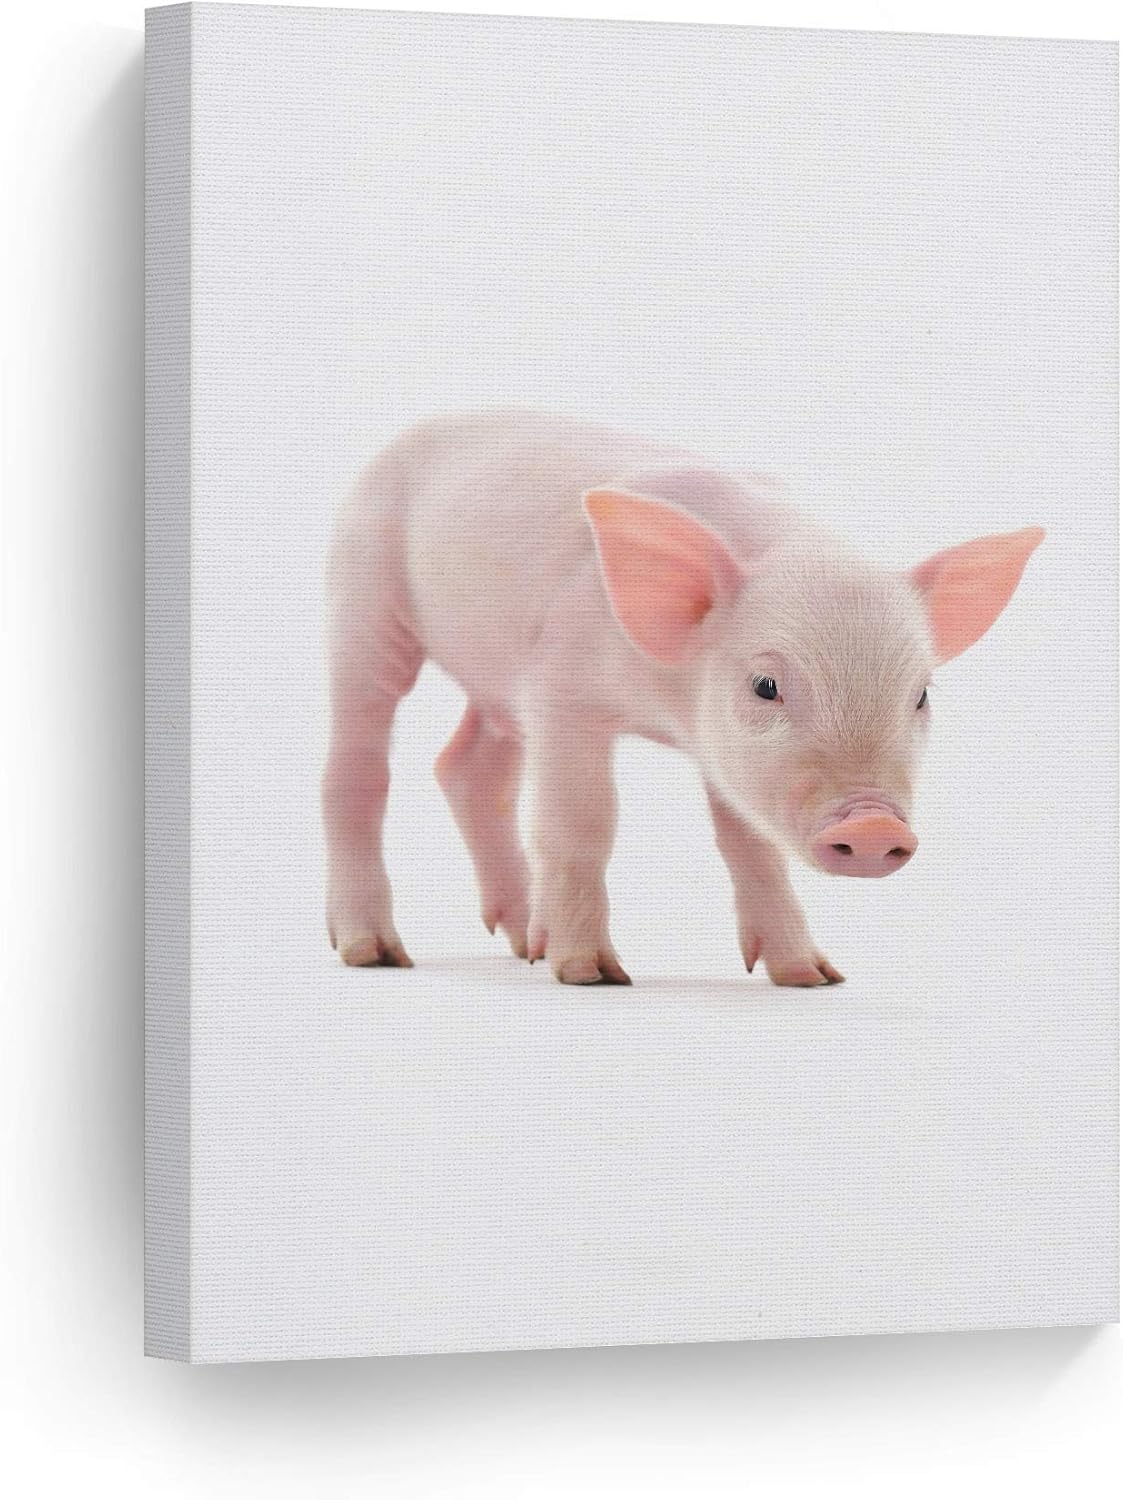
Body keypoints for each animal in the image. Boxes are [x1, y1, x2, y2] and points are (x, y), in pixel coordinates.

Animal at [323, 409, 1043, 986]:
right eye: (765, 685)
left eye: (920, 694)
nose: (872, 825)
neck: (664, 707)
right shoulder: (561, 688)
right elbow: (579, 821)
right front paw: (592, 973)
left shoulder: (710, 747)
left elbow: (747, 843)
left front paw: (813, 977)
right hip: (364, 599)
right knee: (357, 766)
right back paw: (377, 954)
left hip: (496, 684)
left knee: (467, 770)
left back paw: (528, 945)